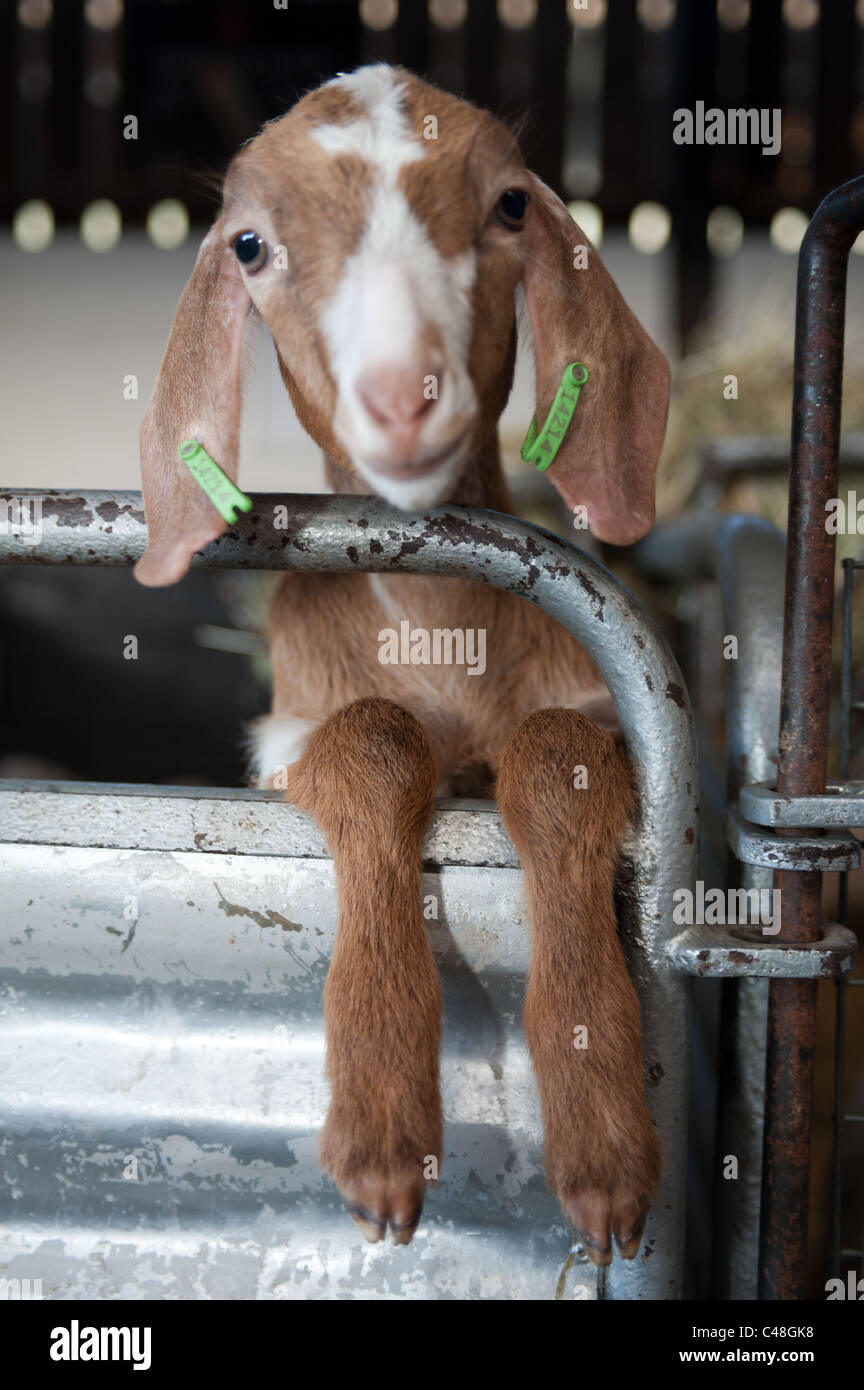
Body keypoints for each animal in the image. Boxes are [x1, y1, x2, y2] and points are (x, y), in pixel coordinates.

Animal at [134, 64, 670, 1266]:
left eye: (512, 205)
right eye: (249, 244)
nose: (402, 393)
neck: (438, 633)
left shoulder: (592, 703)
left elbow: (556, 755)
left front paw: (606, 1153)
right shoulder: (286, 736)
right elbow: (374, 739)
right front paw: (382, 1140)